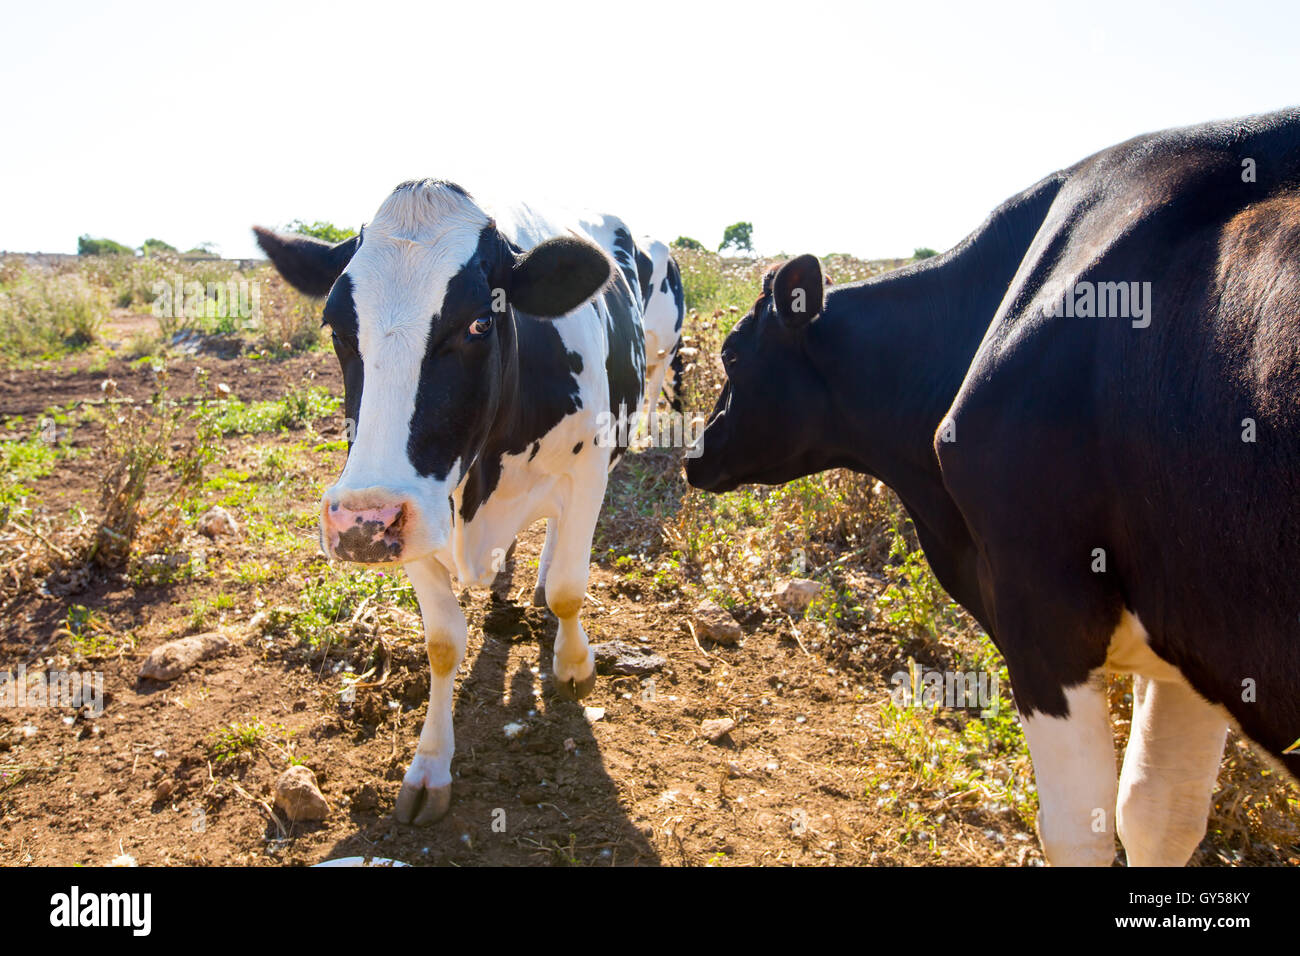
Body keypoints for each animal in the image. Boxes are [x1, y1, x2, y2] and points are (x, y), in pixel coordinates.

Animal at [253, 180, 684, 824]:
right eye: (334, 326)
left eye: (480, 322)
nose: (359, 521)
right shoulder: (416, 516)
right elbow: (442, 642)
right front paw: (430, 767)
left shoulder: (588, 469)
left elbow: (569, 588)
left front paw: (574, 665)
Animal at [686, 108, 1300, 866]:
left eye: (731, 355)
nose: (694, 455)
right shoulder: (1187, 634)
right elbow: (1160, 813)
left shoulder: (1042, 608)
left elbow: (1080, 824)